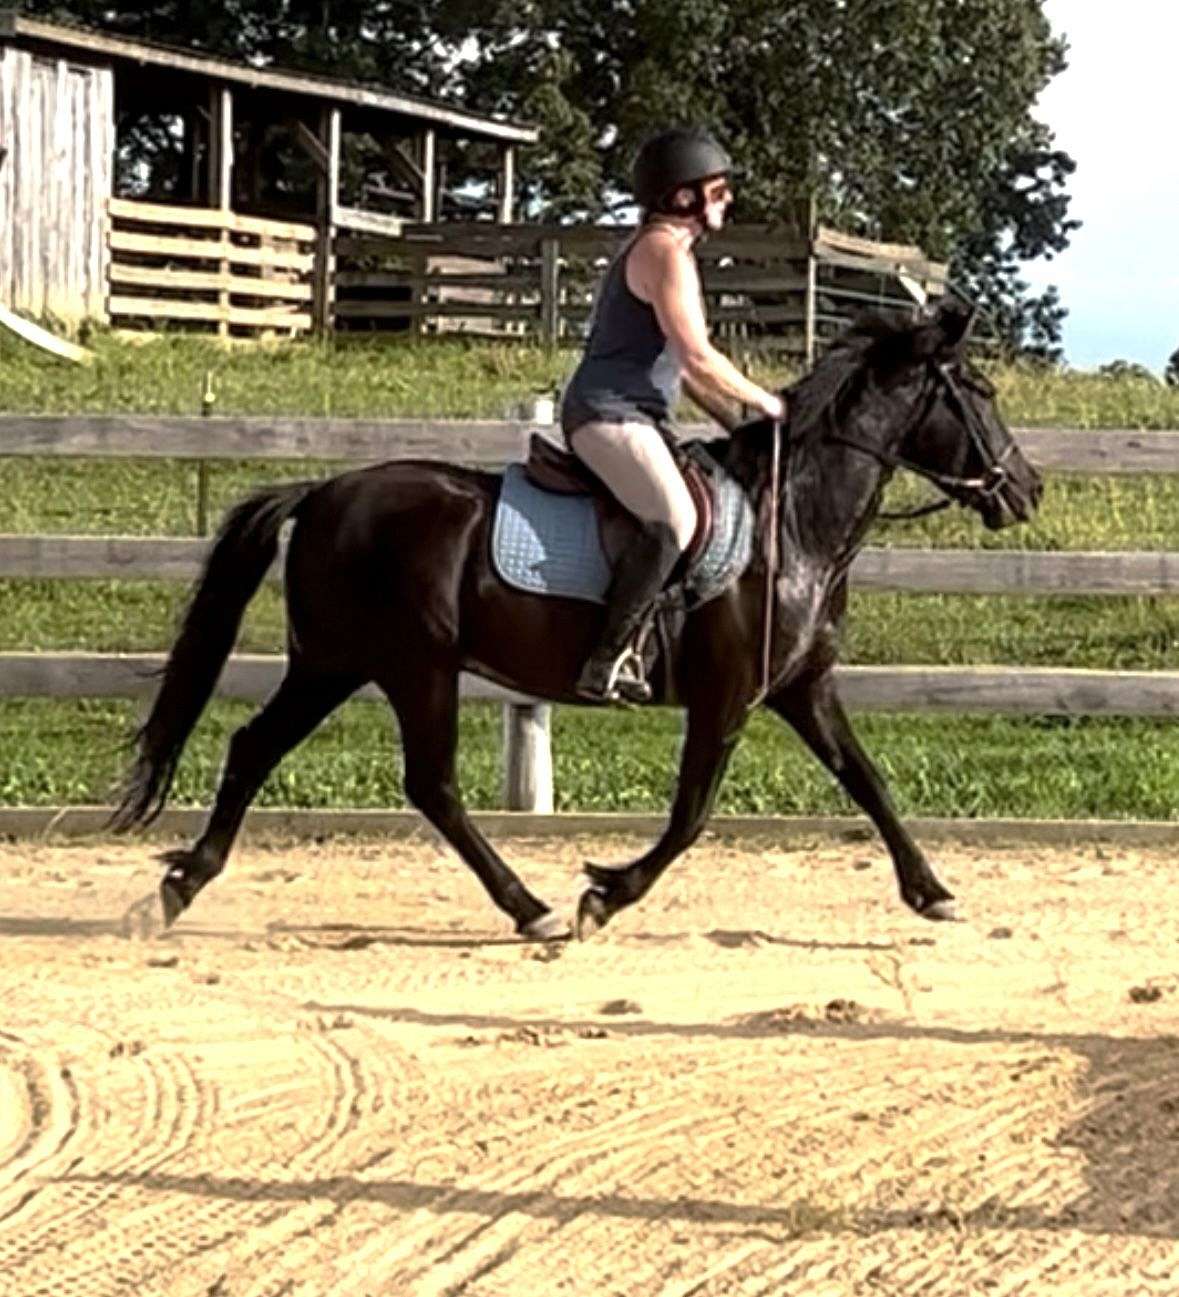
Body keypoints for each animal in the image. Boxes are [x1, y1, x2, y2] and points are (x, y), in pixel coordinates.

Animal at [112, 300, 1041, 941]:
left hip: (333, 663)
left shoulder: (799, 688)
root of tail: (324, 491)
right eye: (981, 391)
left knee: (254, 748)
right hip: (413, 666)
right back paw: (532, 909)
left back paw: (180, 886)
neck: (791, 524)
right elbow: (690, 814)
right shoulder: (726, 697)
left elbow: (866, 780)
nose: (1026, 488)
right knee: (429, 784)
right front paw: (604, 893)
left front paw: (930, 891)